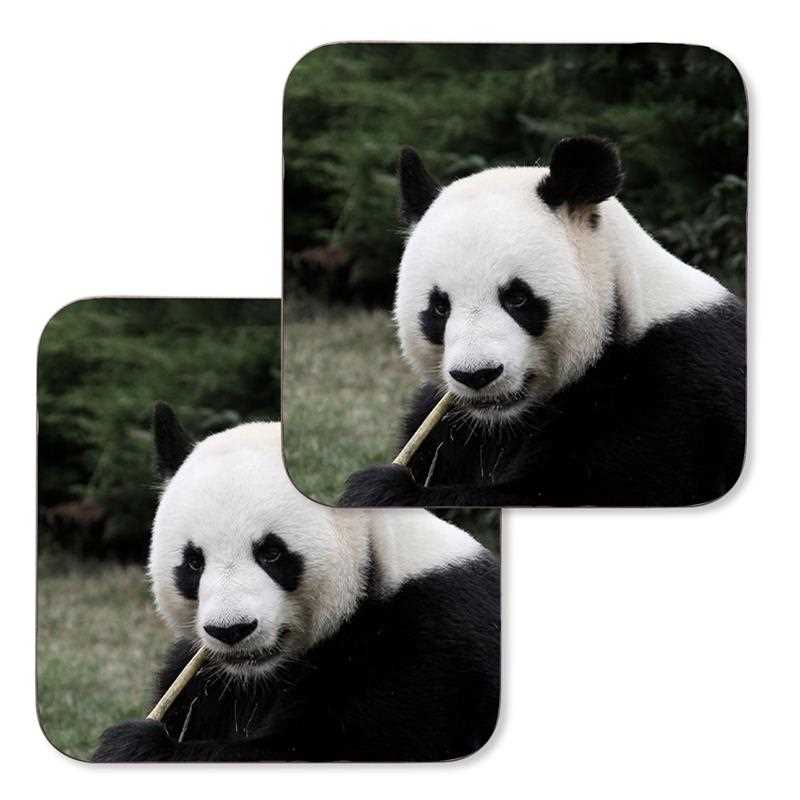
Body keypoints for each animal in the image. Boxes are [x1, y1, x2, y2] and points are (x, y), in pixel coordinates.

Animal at [92, 403, 500, 762]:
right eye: (193, 562)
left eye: (271, 553)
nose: (231, 630)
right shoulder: (206, 680)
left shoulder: (426, 648)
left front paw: (135, 746)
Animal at [341, 136, 746, 507]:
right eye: (440, 308)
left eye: (517, 298)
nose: (477, 375)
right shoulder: (451, 421)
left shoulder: (672, 390)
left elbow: (593, 490)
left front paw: (383, 489)